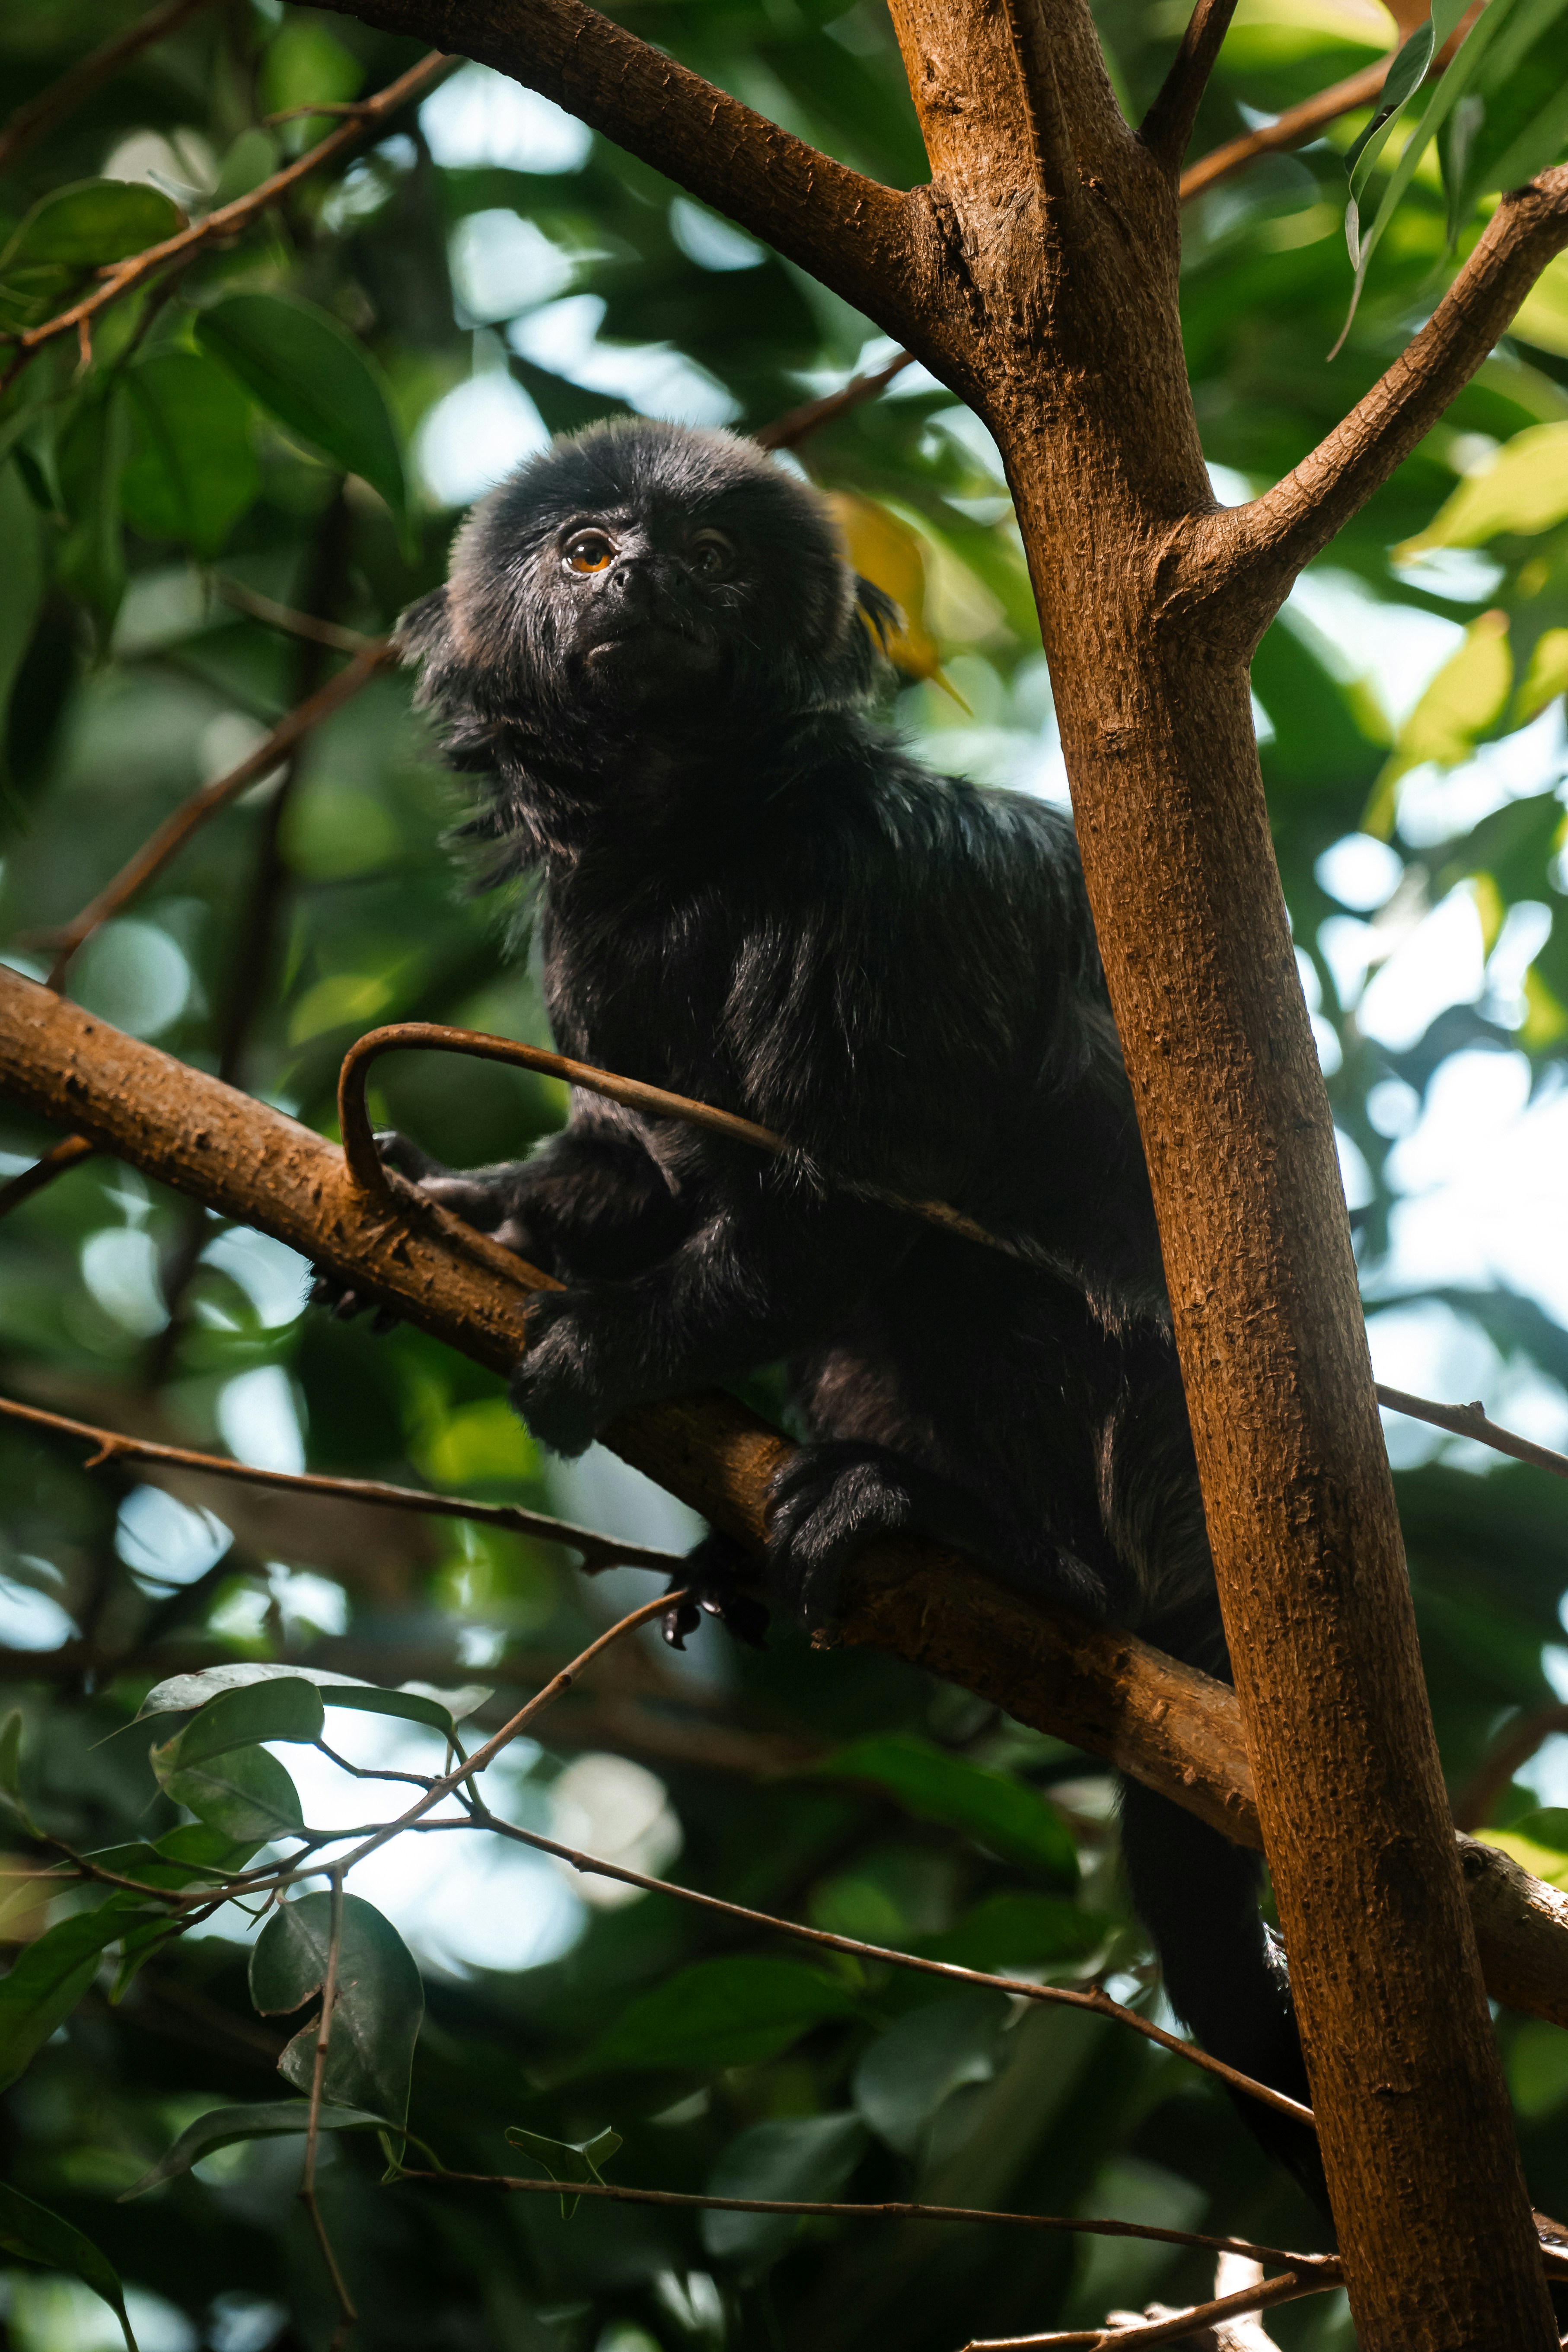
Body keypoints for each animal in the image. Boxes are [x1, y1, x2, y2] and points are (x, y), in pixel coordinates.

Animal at [327, 416, 1322, 2206]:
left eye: (712, 559)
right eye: (585, 551)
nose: (645, 579)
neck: (693, 853)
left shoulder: (886, 892)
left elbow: (855, 1193)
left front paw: (607, 1344)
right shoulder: (584, 945)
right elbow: (632, 1168)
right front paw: (463, 1211)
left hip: (1150, 1469)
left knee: (962, 1276)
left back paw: (985, 1540)